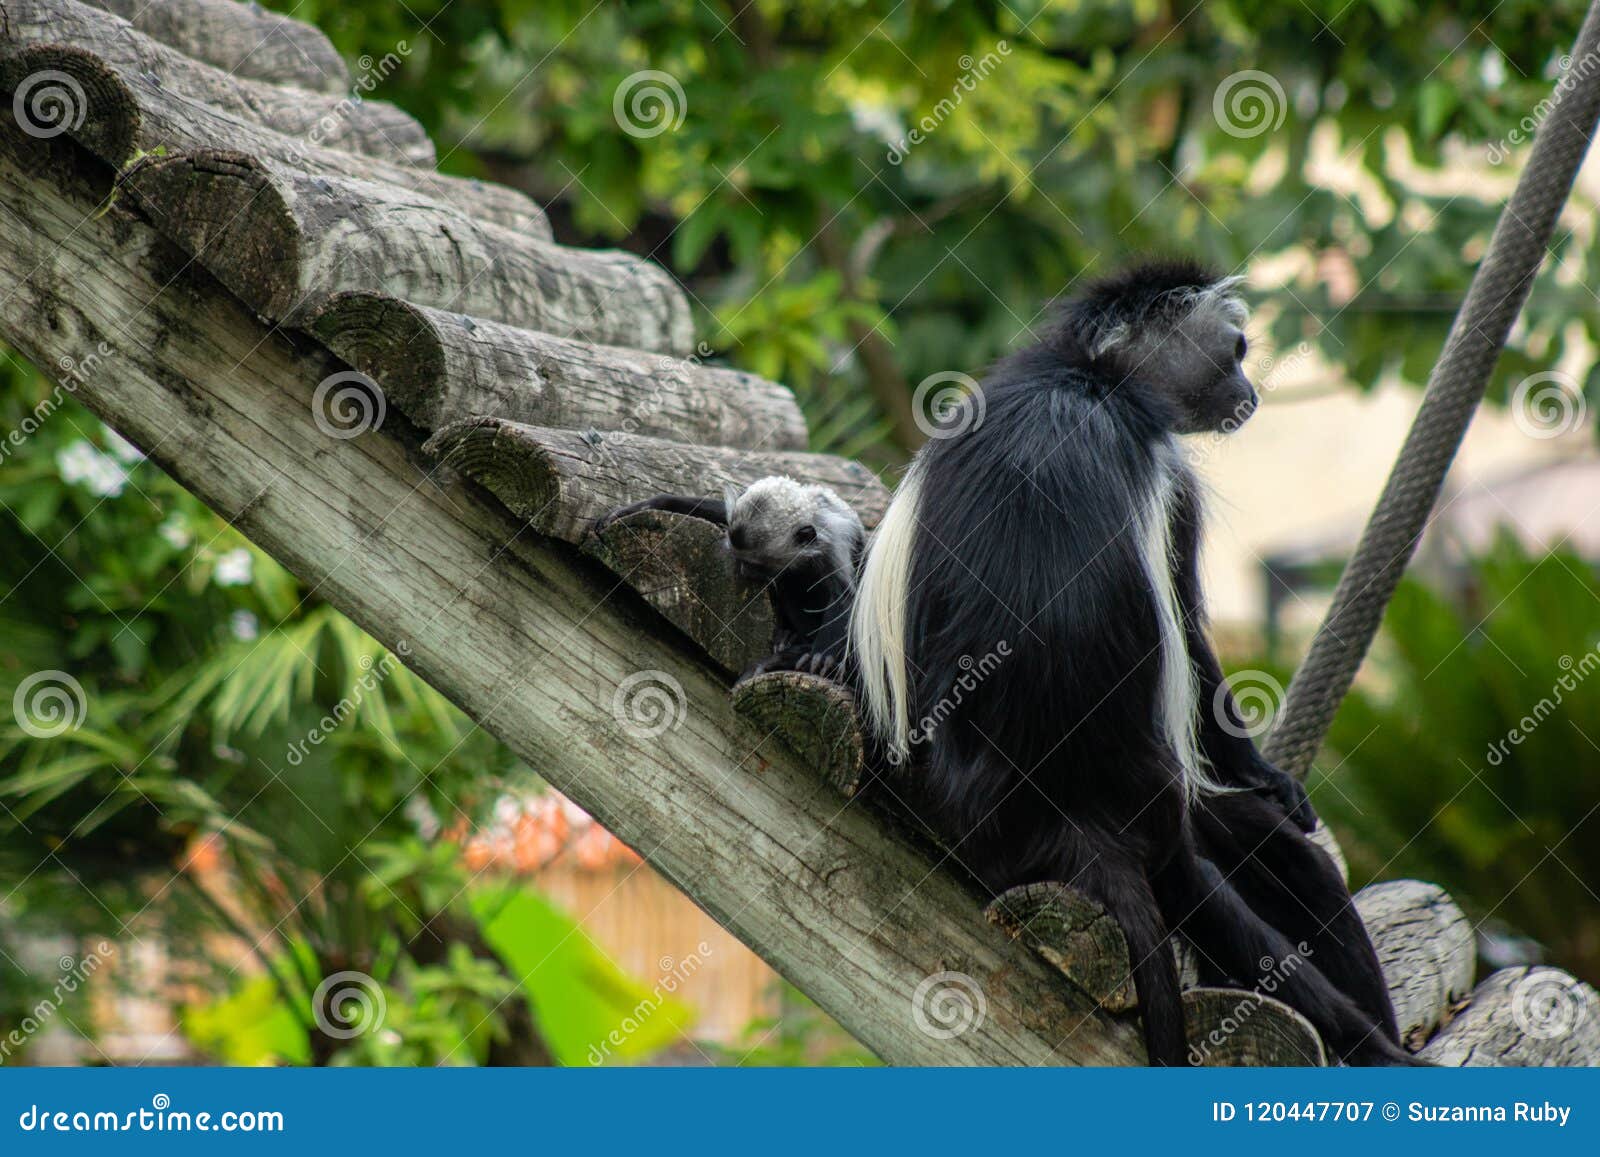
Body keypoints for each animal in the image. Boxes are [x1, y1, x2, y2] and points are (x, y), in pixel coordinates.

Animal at [595, 476, 865, 681]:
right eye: (742, 560)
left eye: (756, 564)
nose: (745, 571)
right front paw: (649, 504)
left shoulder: (833, 541)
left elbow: (844, 597)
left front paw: (823, 654)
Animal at [848, 259, 1413, 1066]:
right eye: (1236, 350)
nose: (1250, 394)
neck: (1091, 375)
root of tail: (1071, 810)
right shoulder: (1161, 465)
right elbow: (1192, 633)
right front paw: (1262, 772)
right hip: (1159, 816)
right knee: (1229, 870)